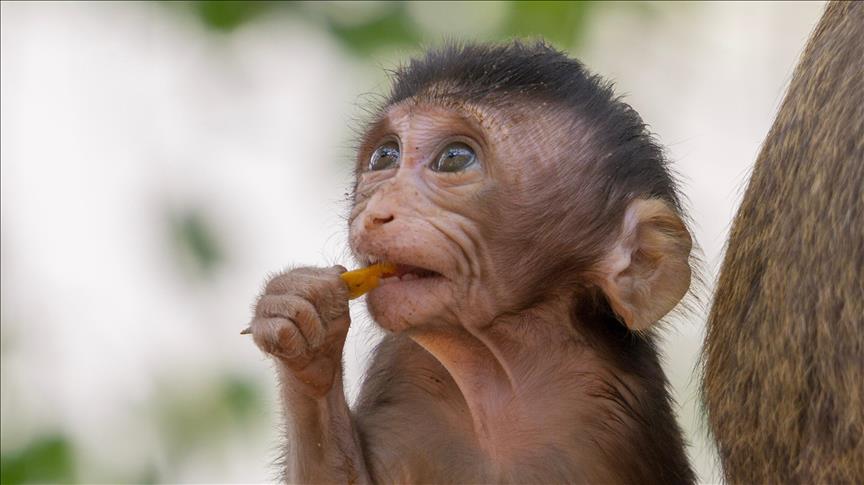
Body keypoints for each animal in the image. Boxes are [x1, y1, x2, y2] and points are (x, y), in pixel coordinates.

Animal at [247, 41, 697, 484]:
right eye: (385, 157)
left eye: (454, 158)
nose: (376, 212)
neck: (499, 379)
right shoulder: (406, 370)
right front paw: (304, 329)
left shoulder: (609, 414)